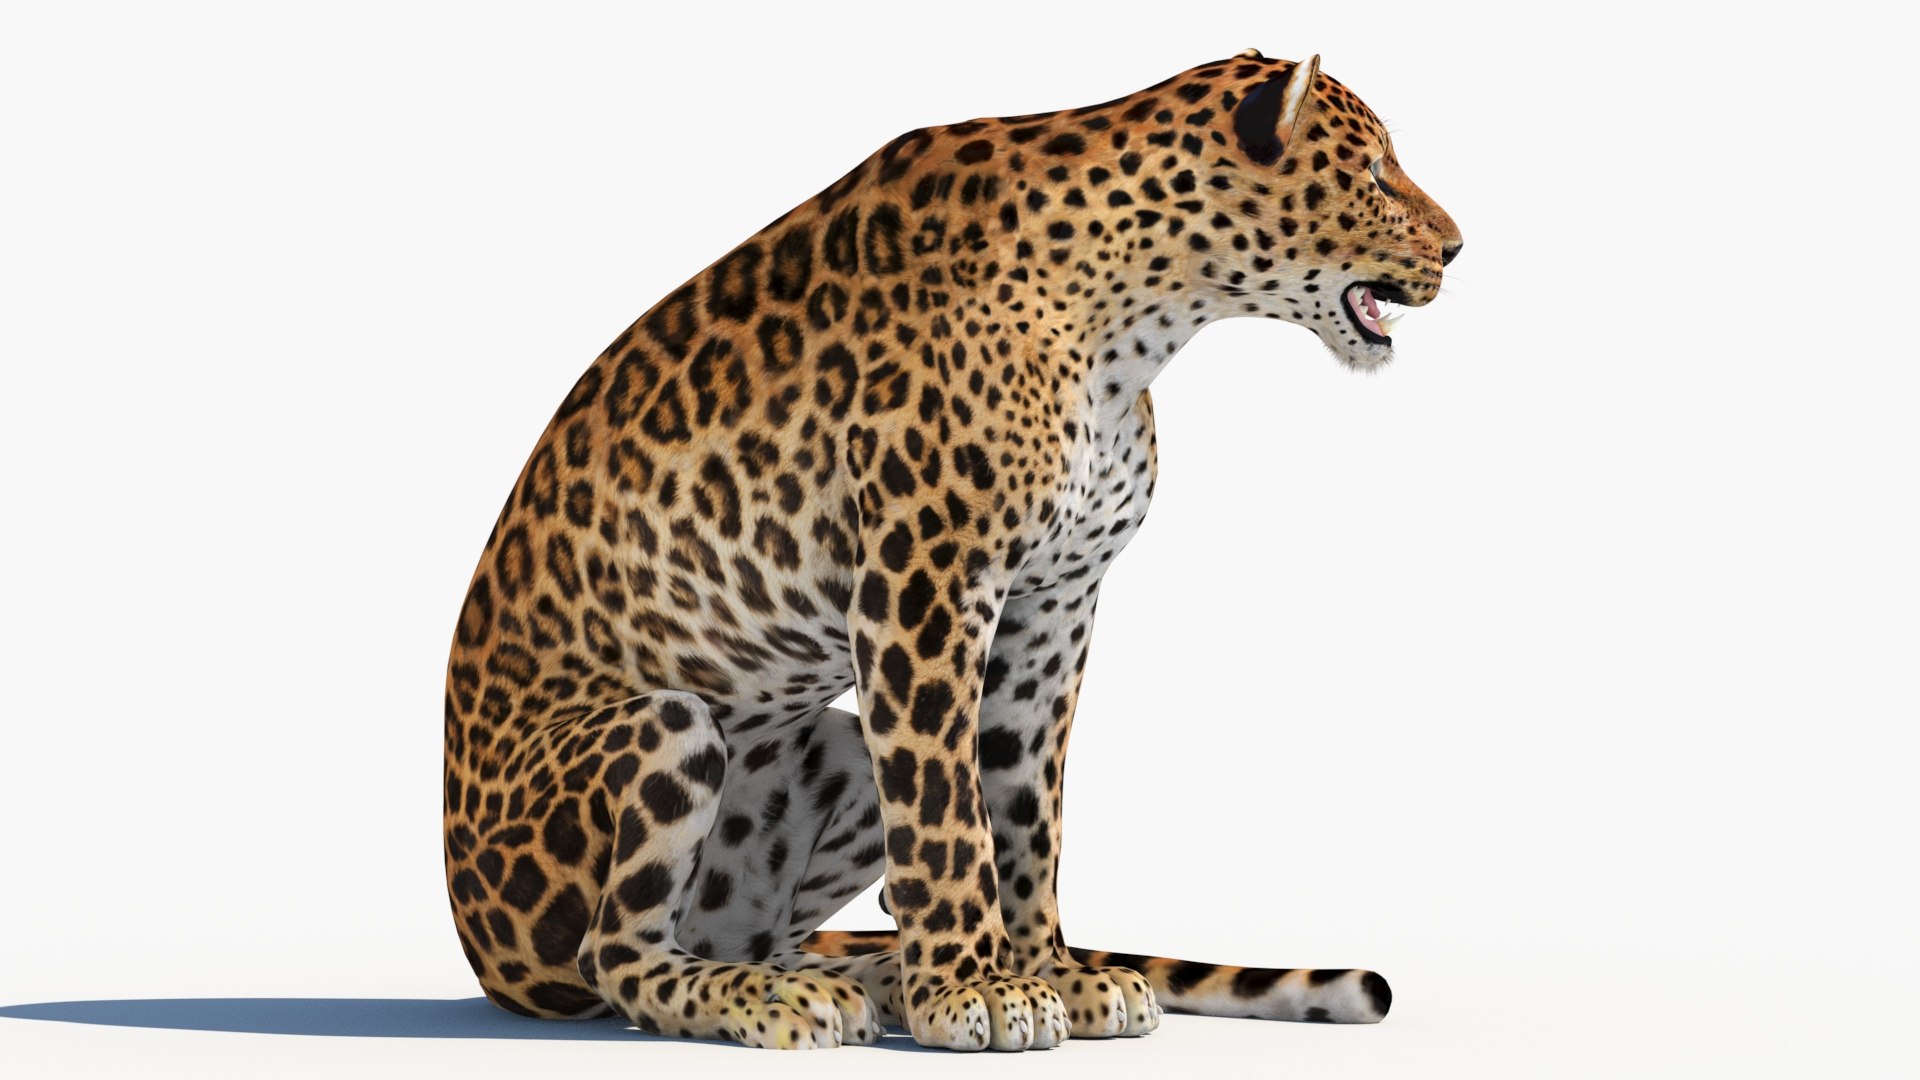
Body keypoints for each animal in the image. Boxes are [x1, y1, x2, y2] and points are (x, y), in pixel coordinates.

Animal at [443, 48, 1462, 1051]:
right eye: (1376, 172)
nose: (1456, 248)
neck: (1136, 324)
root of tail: (478, 945)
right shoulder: (924, 584)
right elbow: (946, 809)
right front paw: (974, 989)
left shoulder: (1054, 602)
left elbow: (1023, 808)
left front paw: (1051, 973)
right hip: (669, 729)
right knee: (616, 958)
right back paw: (774, 1000)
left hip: (838, 755)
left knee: (764, 931)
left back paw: (855, 980)